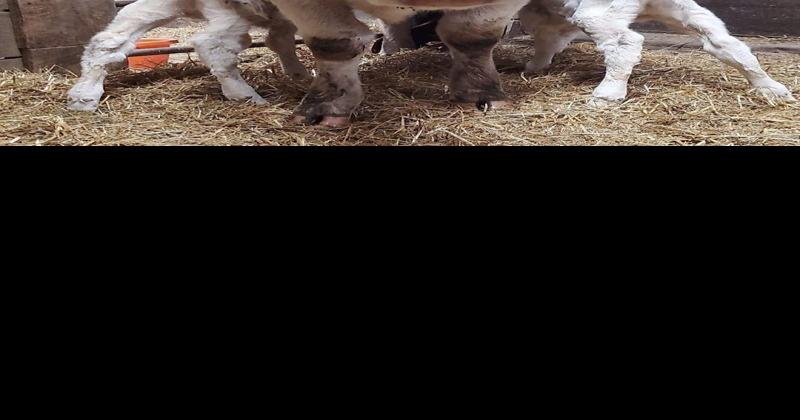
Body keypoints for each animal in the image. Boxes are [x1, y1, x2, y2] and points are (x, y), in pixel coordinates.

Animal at [518, 0, 796, 106]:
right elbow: (548, 34)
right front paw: (535, 66)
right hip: (677, 8)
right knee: (724, 43)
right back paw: (772, 88)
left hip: (598, 11)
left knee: (626, 42)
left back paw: (607, 94)